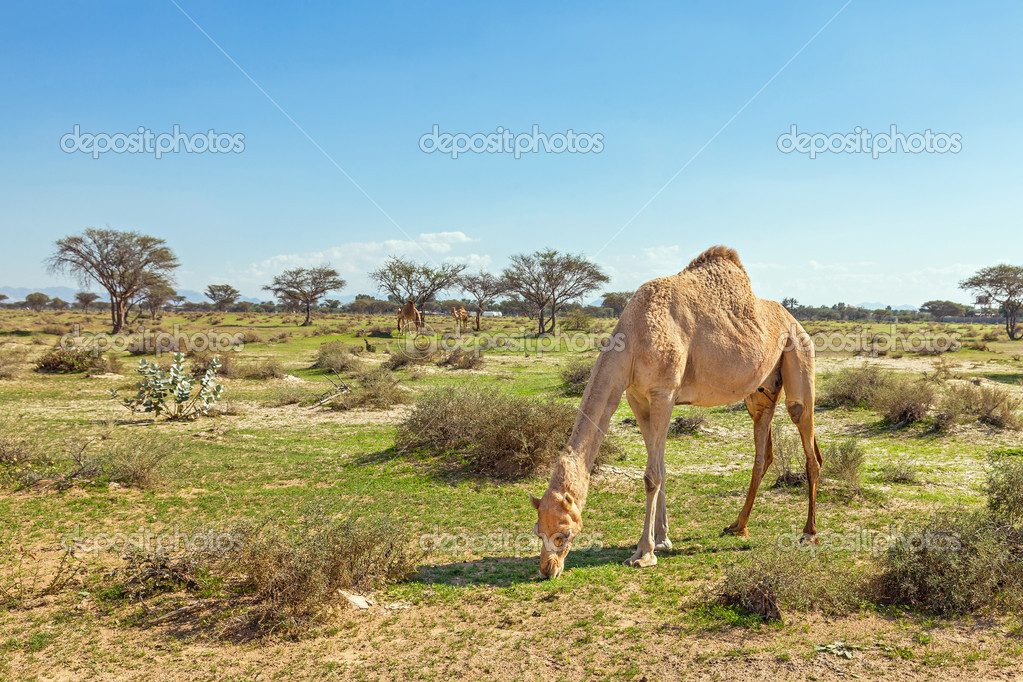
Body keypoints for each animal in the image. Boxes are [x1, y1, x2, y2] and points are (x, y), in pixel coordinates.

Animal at [531, 246, 821, 579]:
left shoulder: (664, 393)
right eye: (538, 531)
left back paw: (809, 533)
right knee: (763, 452)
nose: (548, 569)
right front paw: (663, 539)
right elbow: (661, 468)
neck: (634, 337)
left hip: (799, 353)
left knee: (806, 435)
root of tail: (796, 323)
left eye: (564, 534)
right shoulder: (636, 397)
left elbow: (651, 475)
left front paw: (643, 553)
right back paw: (738, 526)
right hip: (761, 392)